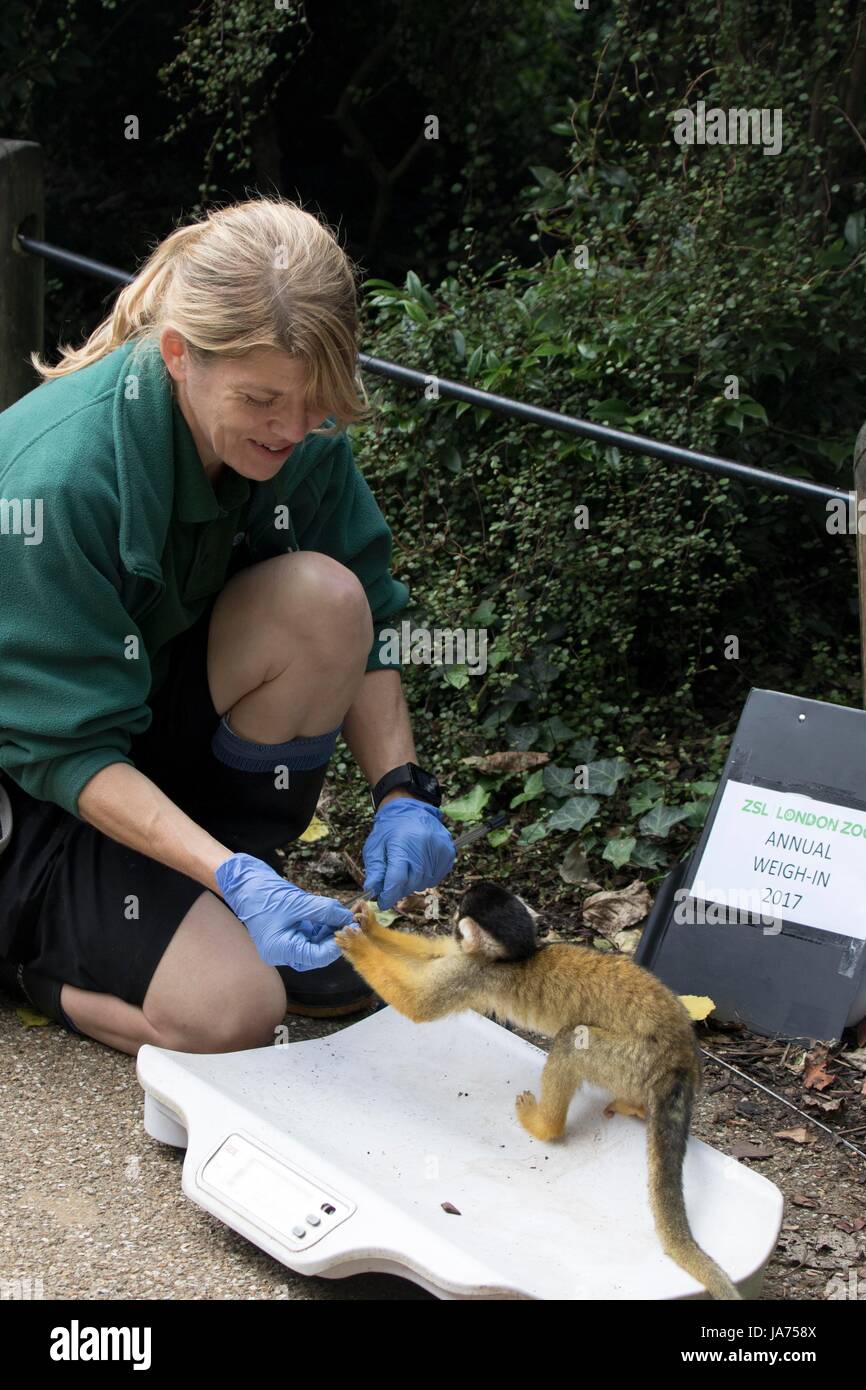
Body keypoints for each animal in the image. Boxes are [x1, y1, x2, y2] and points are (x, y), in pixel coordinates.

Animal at [335, 880, 742, 1302]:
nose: (451, 924)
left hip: (636, 1058)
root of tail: (682, 1056)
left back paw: (545, 1126)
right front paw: (370, 925)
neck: (515, 956)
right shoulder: (470, 962)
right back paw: (634, 1106)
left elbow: (418, 1004)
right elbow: (433, 952)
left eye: (459, 918)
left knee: (573, 1040)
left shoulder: (477, 973)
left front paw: (357, 945)